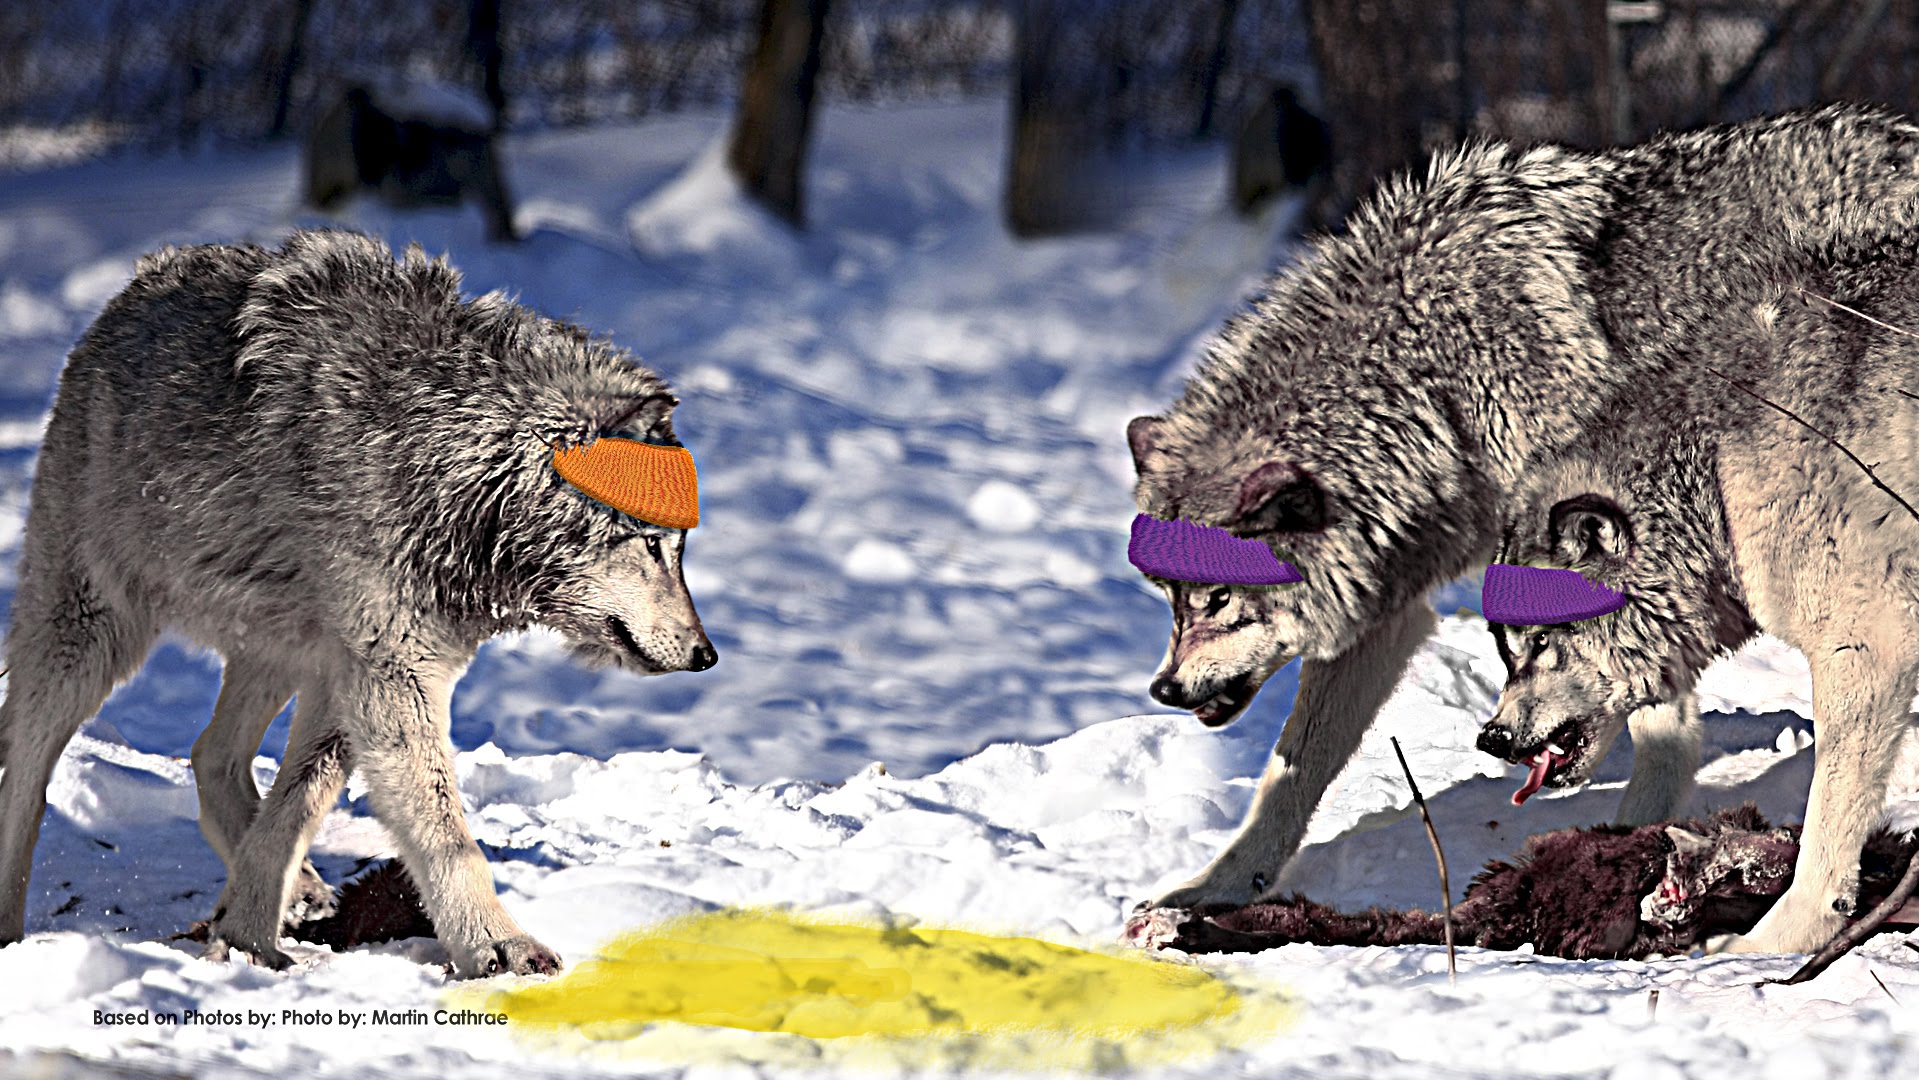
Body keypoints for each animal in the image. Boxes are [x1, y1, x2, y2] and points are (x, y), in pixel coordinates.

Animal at [0, 230, 717, 977]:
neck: (454, 462)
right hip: (90, 633)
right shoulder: (390, 673)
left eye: (680, 548)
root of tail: (138, 282)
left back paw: (299, 892)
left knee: (211, 754)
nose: (706, 655)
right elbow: (447, 835)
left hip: (282, 648)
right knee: (26, 764)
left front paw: (247, 935)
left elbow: (298, 803)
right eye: (653, 544)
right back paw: (11, 931)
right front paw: (498, 945)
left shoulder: (364, 670)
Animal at [1125, 104, 1917, 955]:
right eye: (1168, 598)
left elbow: (1657, 722)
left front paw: (1630, 845)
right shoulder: (1391, 602)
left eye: (1217, 600)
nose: (1165, 687)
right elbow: (1290, 770)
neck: (1432, 381)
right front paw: (1216, 885)